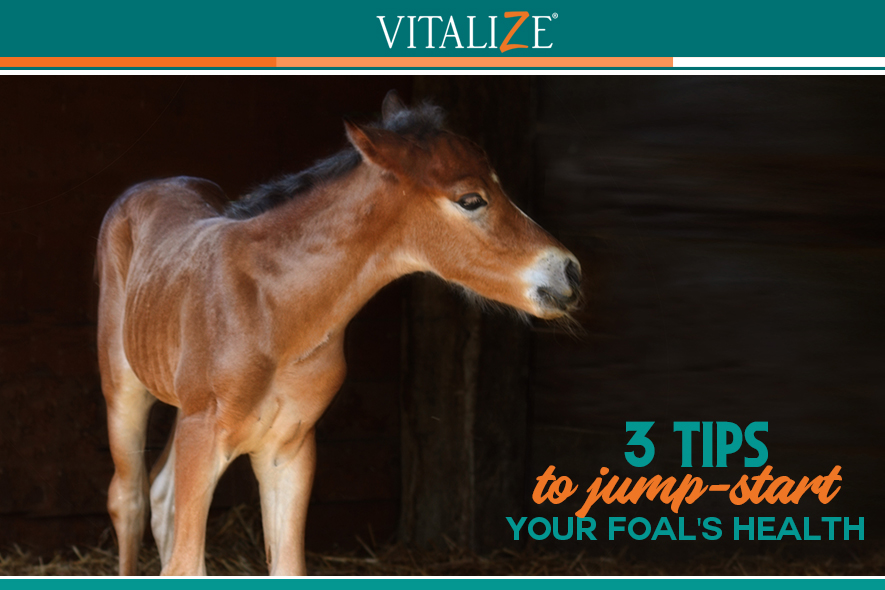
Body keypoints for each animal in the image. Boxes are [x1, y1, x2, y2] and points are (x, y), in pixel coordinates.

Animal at [95, 91, 582, 576]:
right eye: (471, 199)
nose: (569, 272)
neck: (276, 310)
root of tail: (151, 185)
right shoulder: (204, 435)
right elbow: (184, 563)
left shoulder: (289, 449)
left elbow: (287, 566)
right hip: (124, 388)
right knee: (129, 498)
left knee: (160, 494)